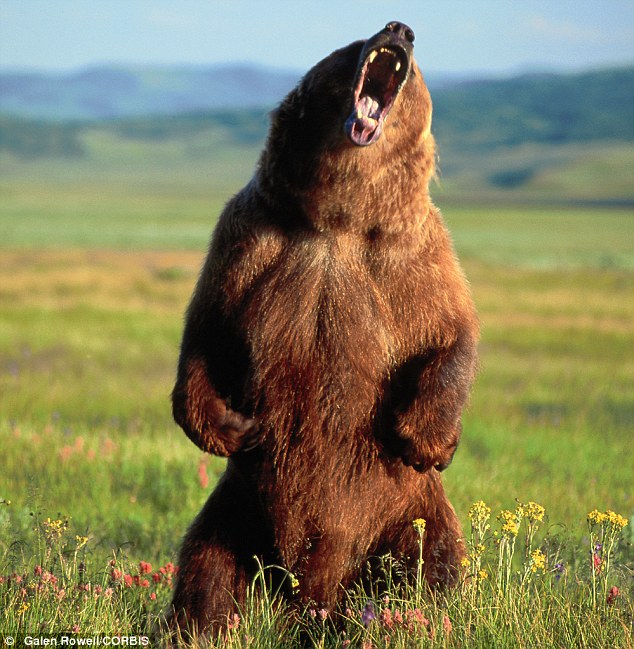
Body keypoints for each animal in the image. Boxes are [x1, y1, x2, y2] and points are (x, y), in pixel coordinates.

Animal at [169, 21, 479, 635]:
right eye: (356, 40)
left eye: (416, 58)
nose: (400, 28)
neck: (340, 215)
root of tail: (310, 598)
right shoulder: (249, 239)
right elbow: (210, 330)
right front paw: (229, 425)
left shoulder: (412, 254)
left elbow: (450, 331)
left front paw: (426, 438)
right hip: (237, 516)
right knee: (206, 576)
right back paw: (202, 625)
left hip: (405, 516)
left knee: (431, 568)